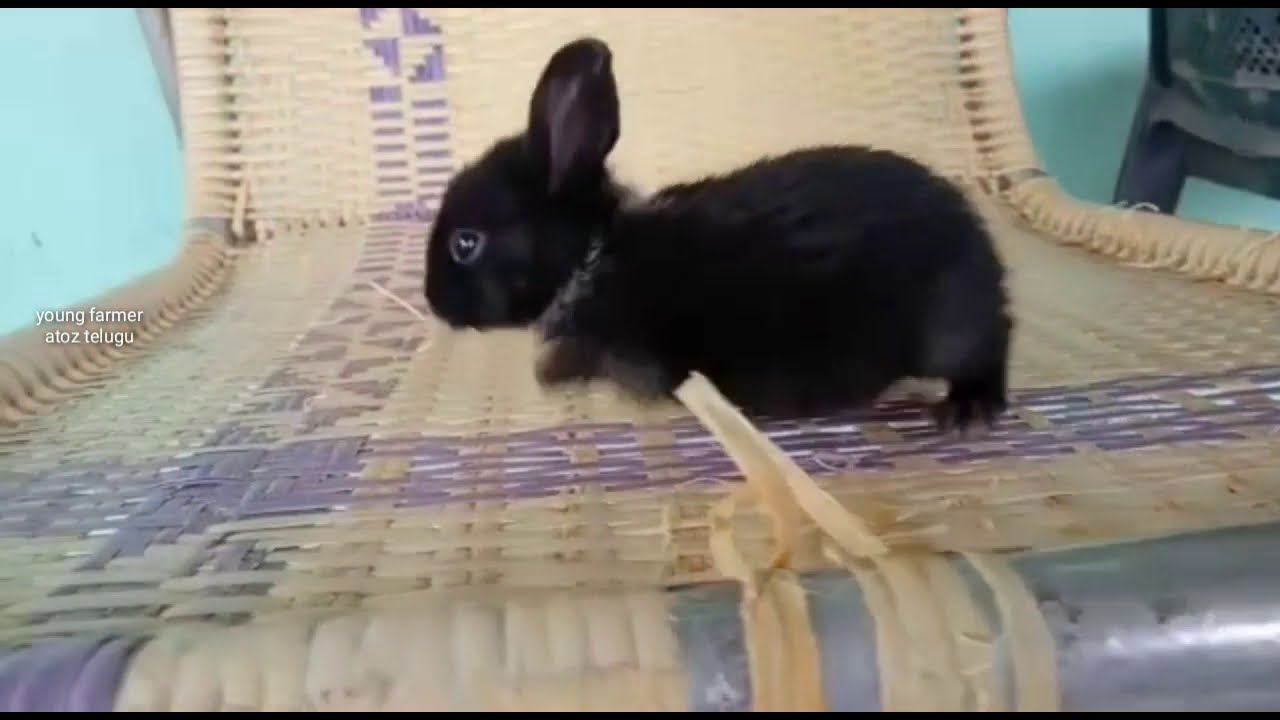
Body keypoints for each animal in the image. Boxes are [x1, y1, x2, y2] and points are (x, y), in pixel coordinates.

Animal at [424, 36, 1014, 433]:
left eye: (465, 243)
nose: (431, 301)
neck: (590, 256)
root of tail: (982, 249)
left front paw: (547, 375)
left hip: (950, 330)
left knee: (988, 352)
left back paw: (967, 410)